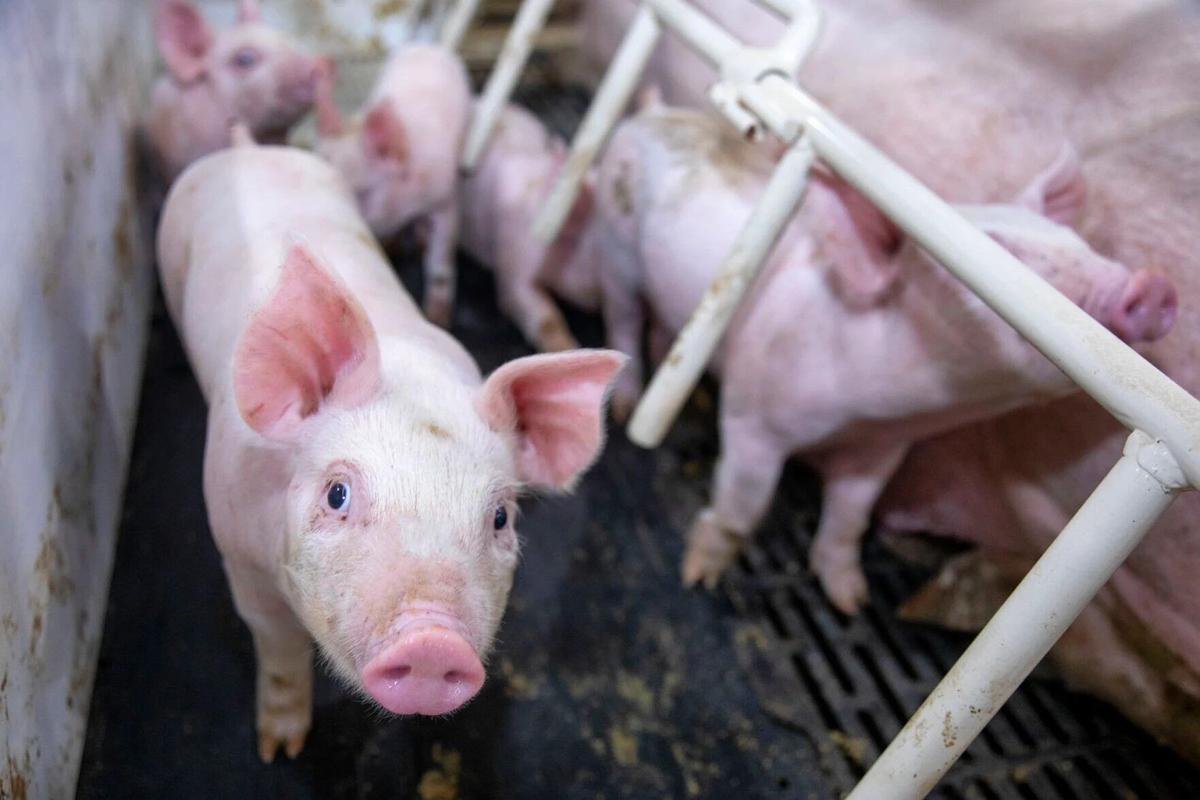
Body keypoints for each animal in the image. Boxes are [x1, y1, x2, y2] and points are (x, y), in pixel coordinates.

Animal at [156, 140, 625, 761]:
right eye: (337, 493)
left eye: (500, 517)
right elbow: (277, 649)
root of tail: (244, 145)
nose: (433, 642)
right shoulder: (239, 556)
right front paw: (281, 750)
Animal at [313, 46, 471, 328]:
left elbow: (439, 261)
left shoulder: (447, 198)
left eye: (362, 193)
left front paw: (437, 319)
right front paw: (391, 247)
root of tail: (427, 47)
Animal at [590, 104, 1176, 614]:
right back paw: (626, 407)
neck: (869, 413)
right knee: (622, 316)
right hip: (616, 248)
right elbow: (744, 505)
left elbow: (851, 518)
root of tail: (652, 113)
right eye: (1000, 251)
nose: (1151, 286)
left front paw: (851, 601)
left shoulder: (880, 451)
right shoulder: (752, 420)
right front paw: (699, 576)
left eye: (1077, 240)